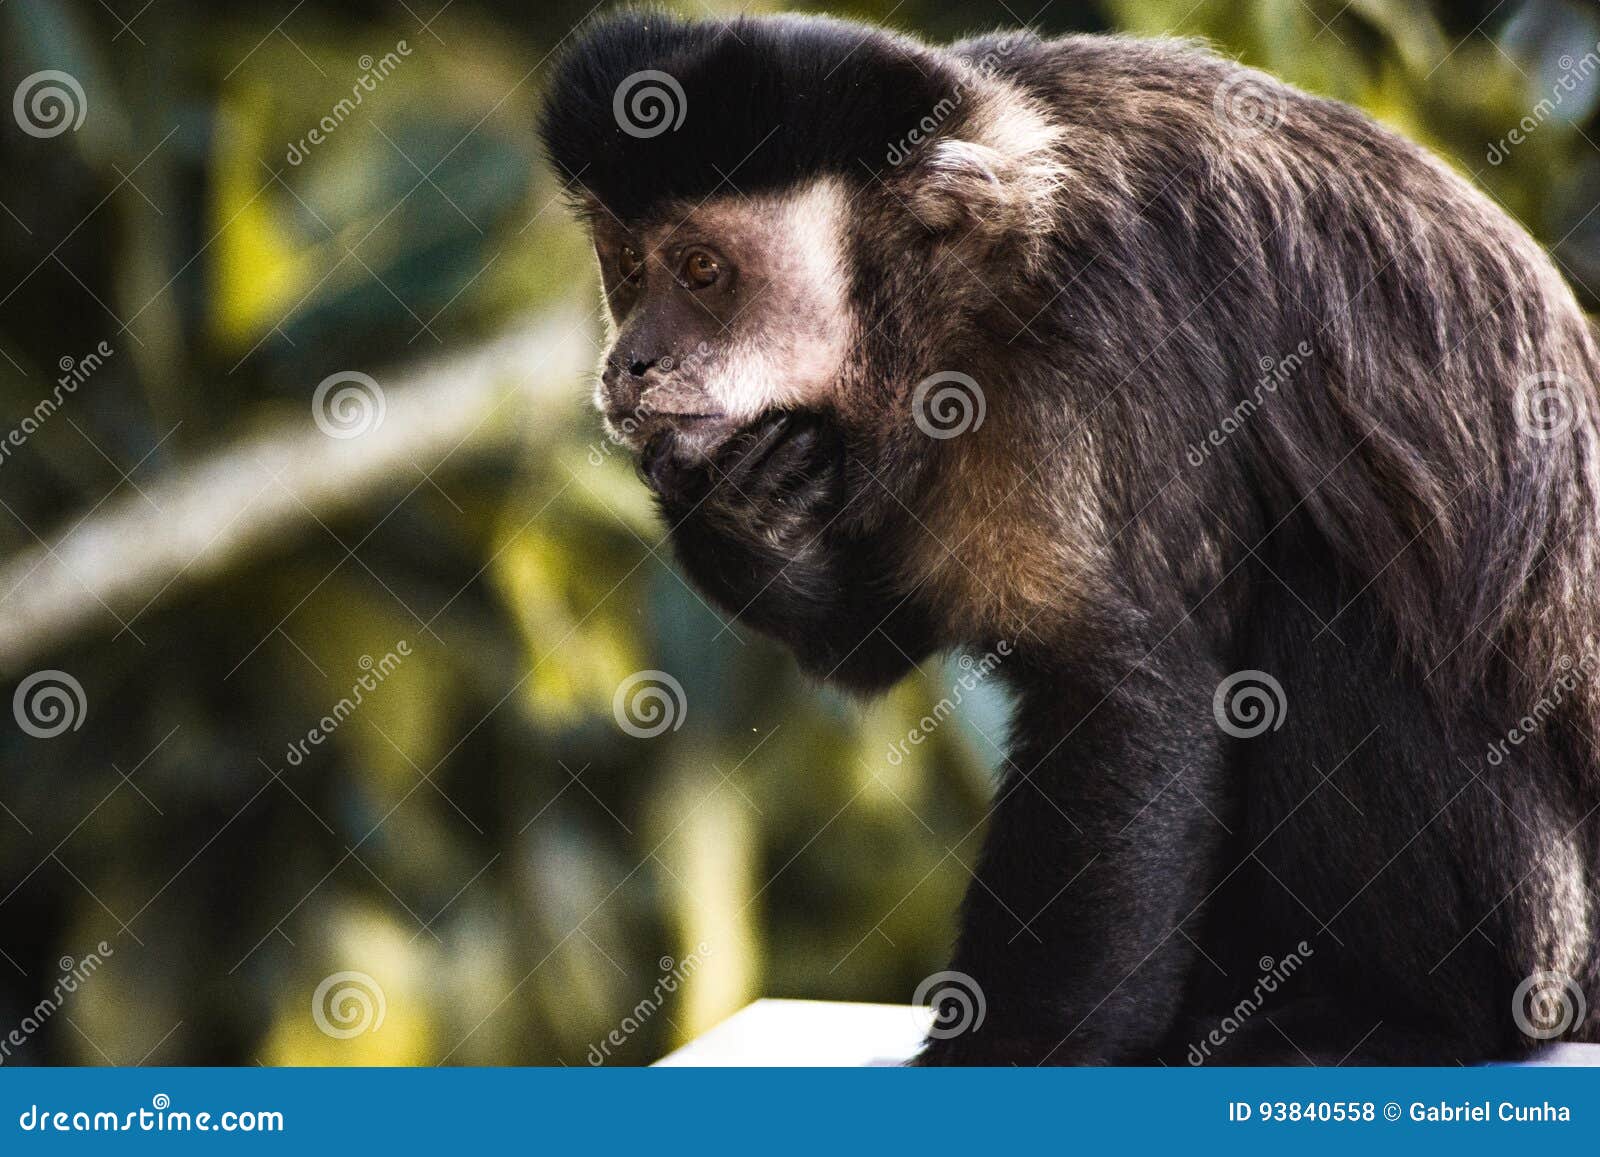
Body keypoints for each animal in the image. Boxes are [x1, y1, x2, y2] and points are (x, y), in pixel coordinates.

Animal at [539, 10, 1600, 1064]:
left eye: (702, 272)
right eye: (628, 267)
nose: (631, 360)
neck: (973, 290)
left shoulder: (1103, 339)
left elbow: (1135, 689)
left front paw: (1000, 1053)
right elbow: (882, 643)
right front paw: (740, 512)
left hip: (1542, 923)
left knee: (1316, 608)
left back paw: (1398, 1016)